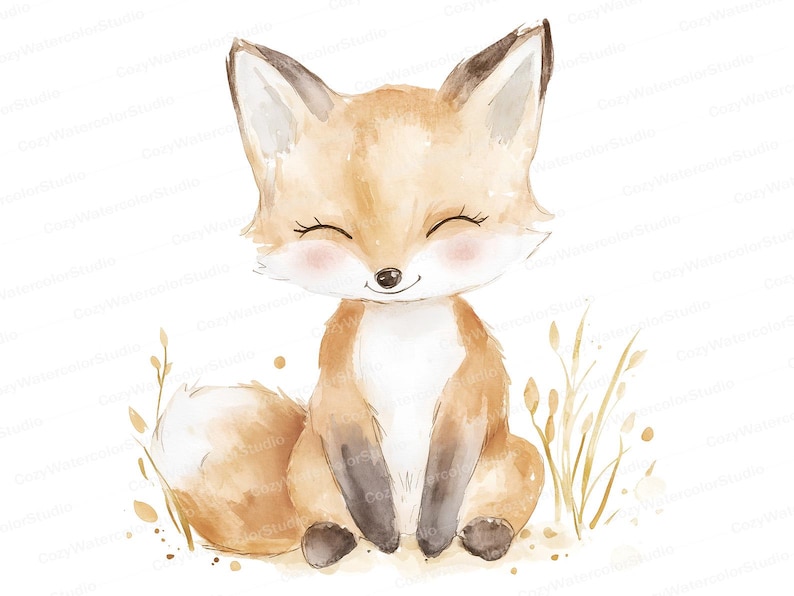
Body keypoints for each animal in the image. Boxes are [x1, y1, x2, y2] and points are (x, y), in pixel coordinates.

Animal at [150, 20, 554, 569]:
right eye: (330, 230)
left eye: (449, 224)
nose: (388, 276)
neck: (405, 344)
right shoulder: (339, 392)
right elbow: (363, 480)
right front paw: (379, 536)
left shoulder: (471, 392)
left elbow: (446, 481)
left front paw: (434, 540)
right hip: (308, 466)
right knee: (323, 518)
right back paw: (333, 540)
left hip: (519, 460)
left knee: (492, 508)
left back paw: (482, 534)